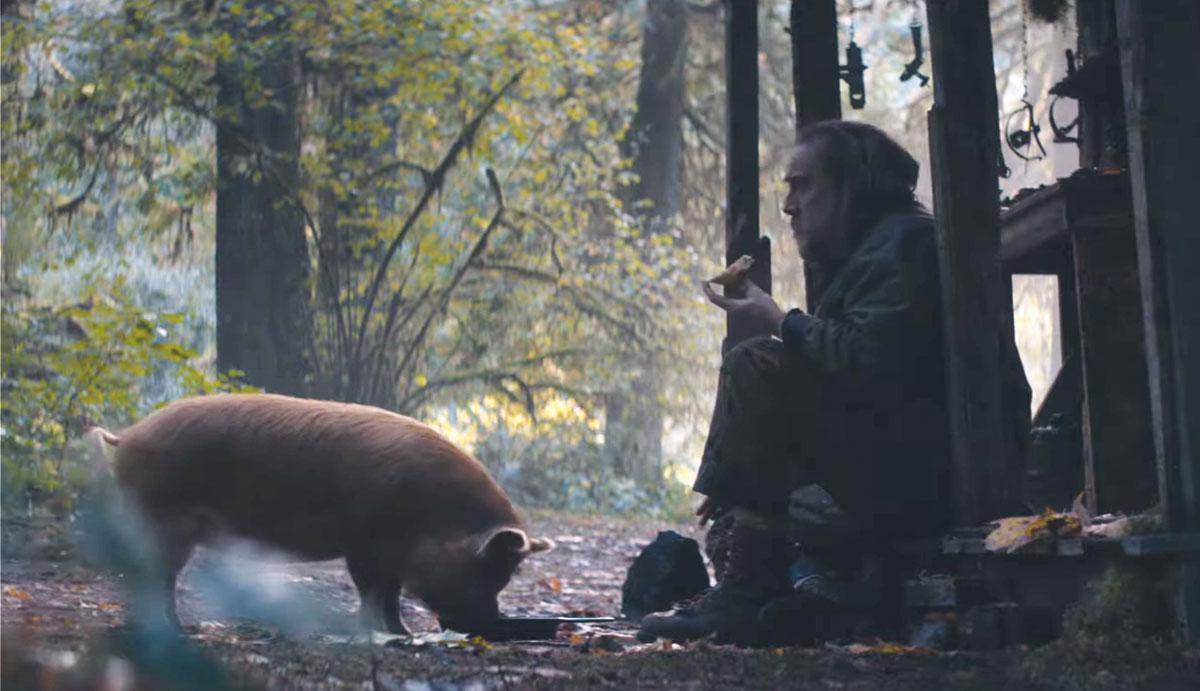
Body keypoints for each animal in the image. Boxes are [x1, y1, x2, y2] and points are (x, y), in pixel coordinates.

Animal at [87, 393, 552, 634]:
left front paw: (402, 634)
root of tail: (126, 437)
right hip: (161, 519)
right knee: (153, 575)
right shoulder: (365, 544)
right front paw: (382, 635)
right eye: (486, 570)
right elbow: (373, 590)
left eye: (507, 576)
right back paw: (176, 629)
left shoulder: (388, 554)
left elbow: (391, 593)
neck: (435, 514)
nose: (493, 621)